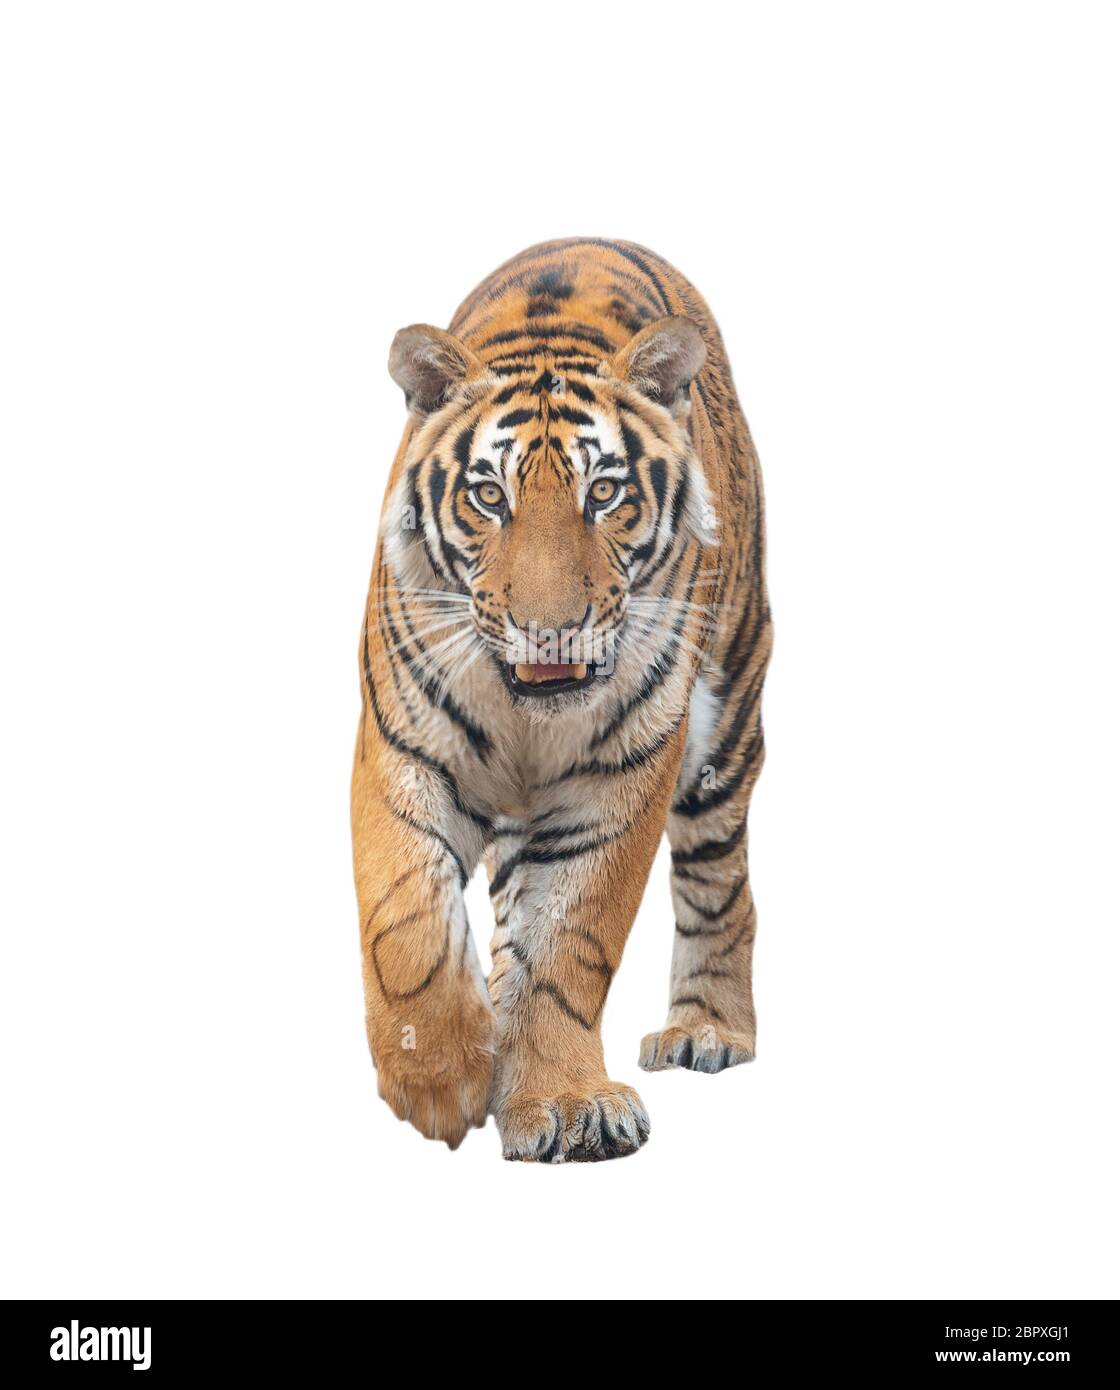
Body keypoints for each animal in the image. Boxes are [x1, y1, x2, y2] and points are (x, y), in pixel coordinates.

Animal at [352, 238, 771, 1162]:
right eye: (488, 496)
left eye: (604, 494)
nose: (551, 633)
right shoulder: (401, 750)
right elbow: (407, 917)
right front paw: (440, 1075)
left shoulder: (618, 780)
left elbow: (566, 942)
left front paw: (562, 1100)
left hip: (728, 720)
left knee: (720, 882)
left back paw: (708, 1029)